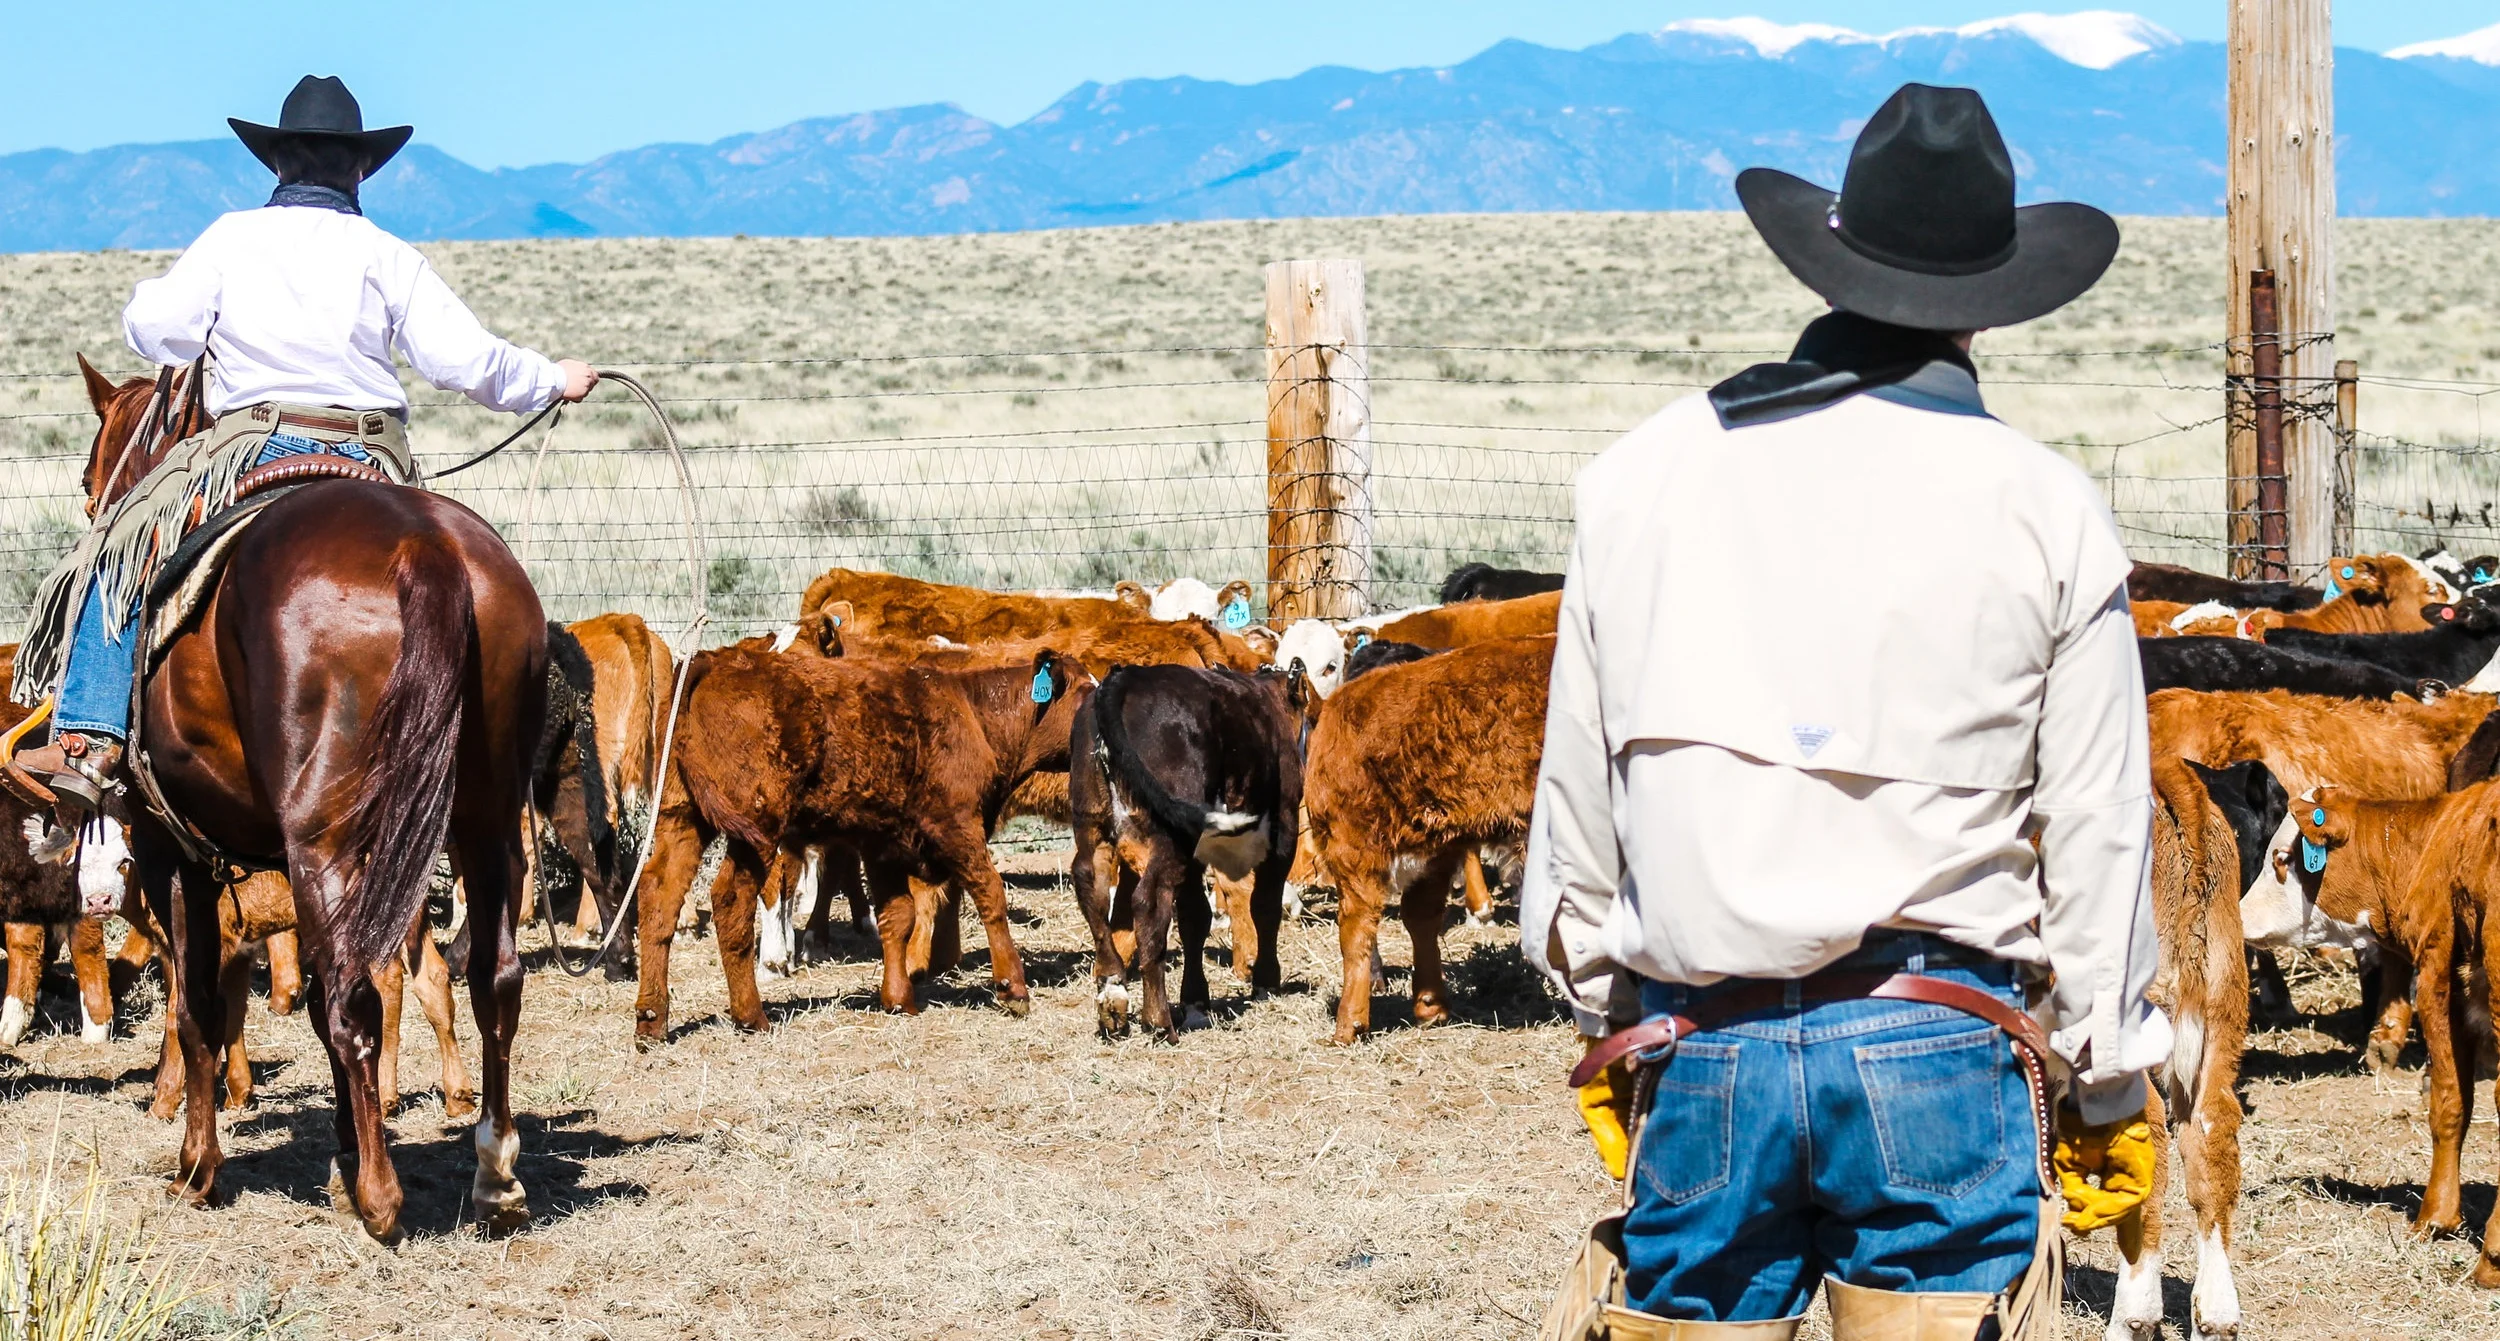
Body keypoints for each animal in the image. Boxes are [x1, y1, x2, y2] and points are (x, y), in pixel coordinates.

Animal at [65, 354, 545, 1242]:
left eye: (93, 475)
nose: (95, 506)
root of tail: (424, 548)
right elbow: (306, 1003)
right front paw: (339, 1157)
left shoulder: (176, 852)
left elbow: (198, 1007)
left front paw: (197, 1168)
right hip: (484, 820)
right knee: (491, 979)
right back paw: (494, 1176)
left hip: (328, 838)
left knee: (359, 996)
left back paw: (383, 1200)